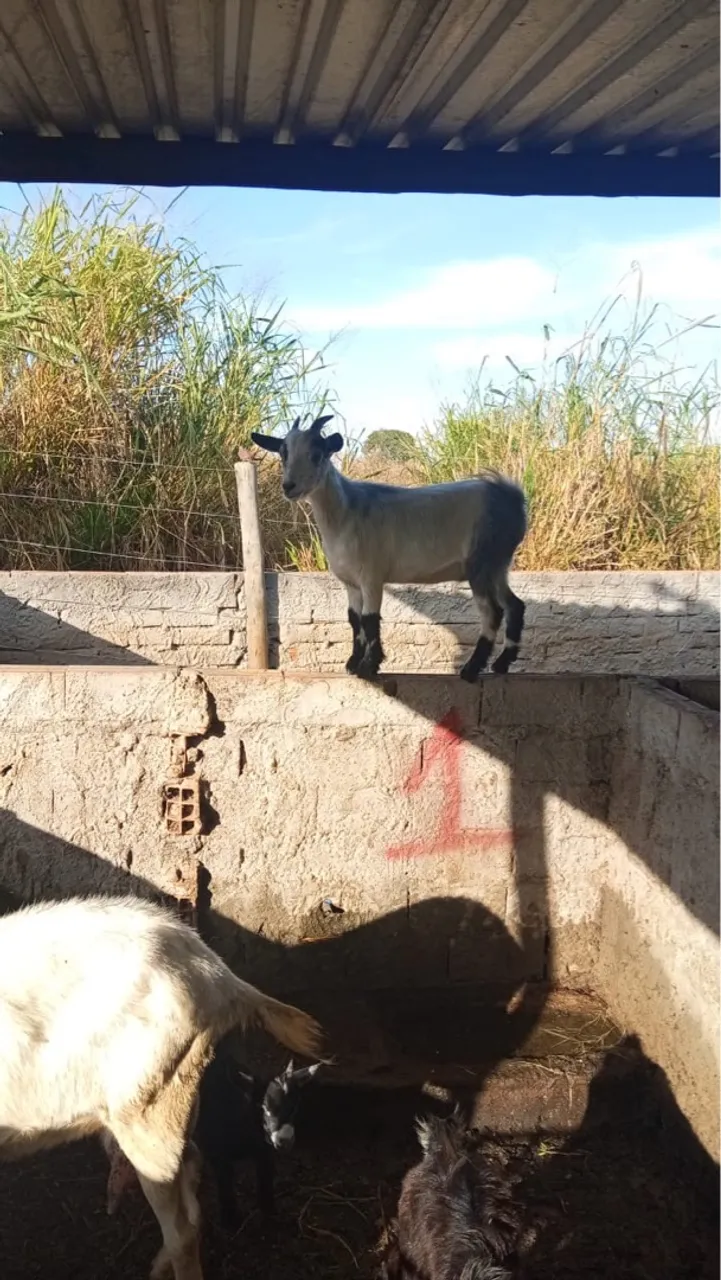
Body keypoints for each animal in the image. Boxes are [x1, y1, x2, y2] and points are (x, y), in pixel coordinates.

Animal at [103, 1046, 320, 1227]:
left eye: (295, 1106)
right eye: (262, 1107)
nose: (284, 1140)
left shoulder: (264, 1153)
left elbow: (265, 1184)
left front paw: (269, 1215)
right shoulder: (219, 1155)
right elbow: (225, 1185)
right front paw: (230, 1220)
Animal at [252, 416, 527, 682]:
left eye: (317, 454)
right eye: (283, 453)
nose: (289, 486)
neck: (346, 510)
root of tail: (510, 496)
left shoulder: (371, 576)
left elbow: (370, 619)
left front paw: (368, 667)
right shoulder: (351, 582)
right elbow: (354, 619)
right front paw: (353, 663)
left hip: (481, 562)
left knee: (492, 612)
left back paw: (471, 669)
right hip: (498, 565)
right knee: (515, 604)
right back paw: (502, 663)